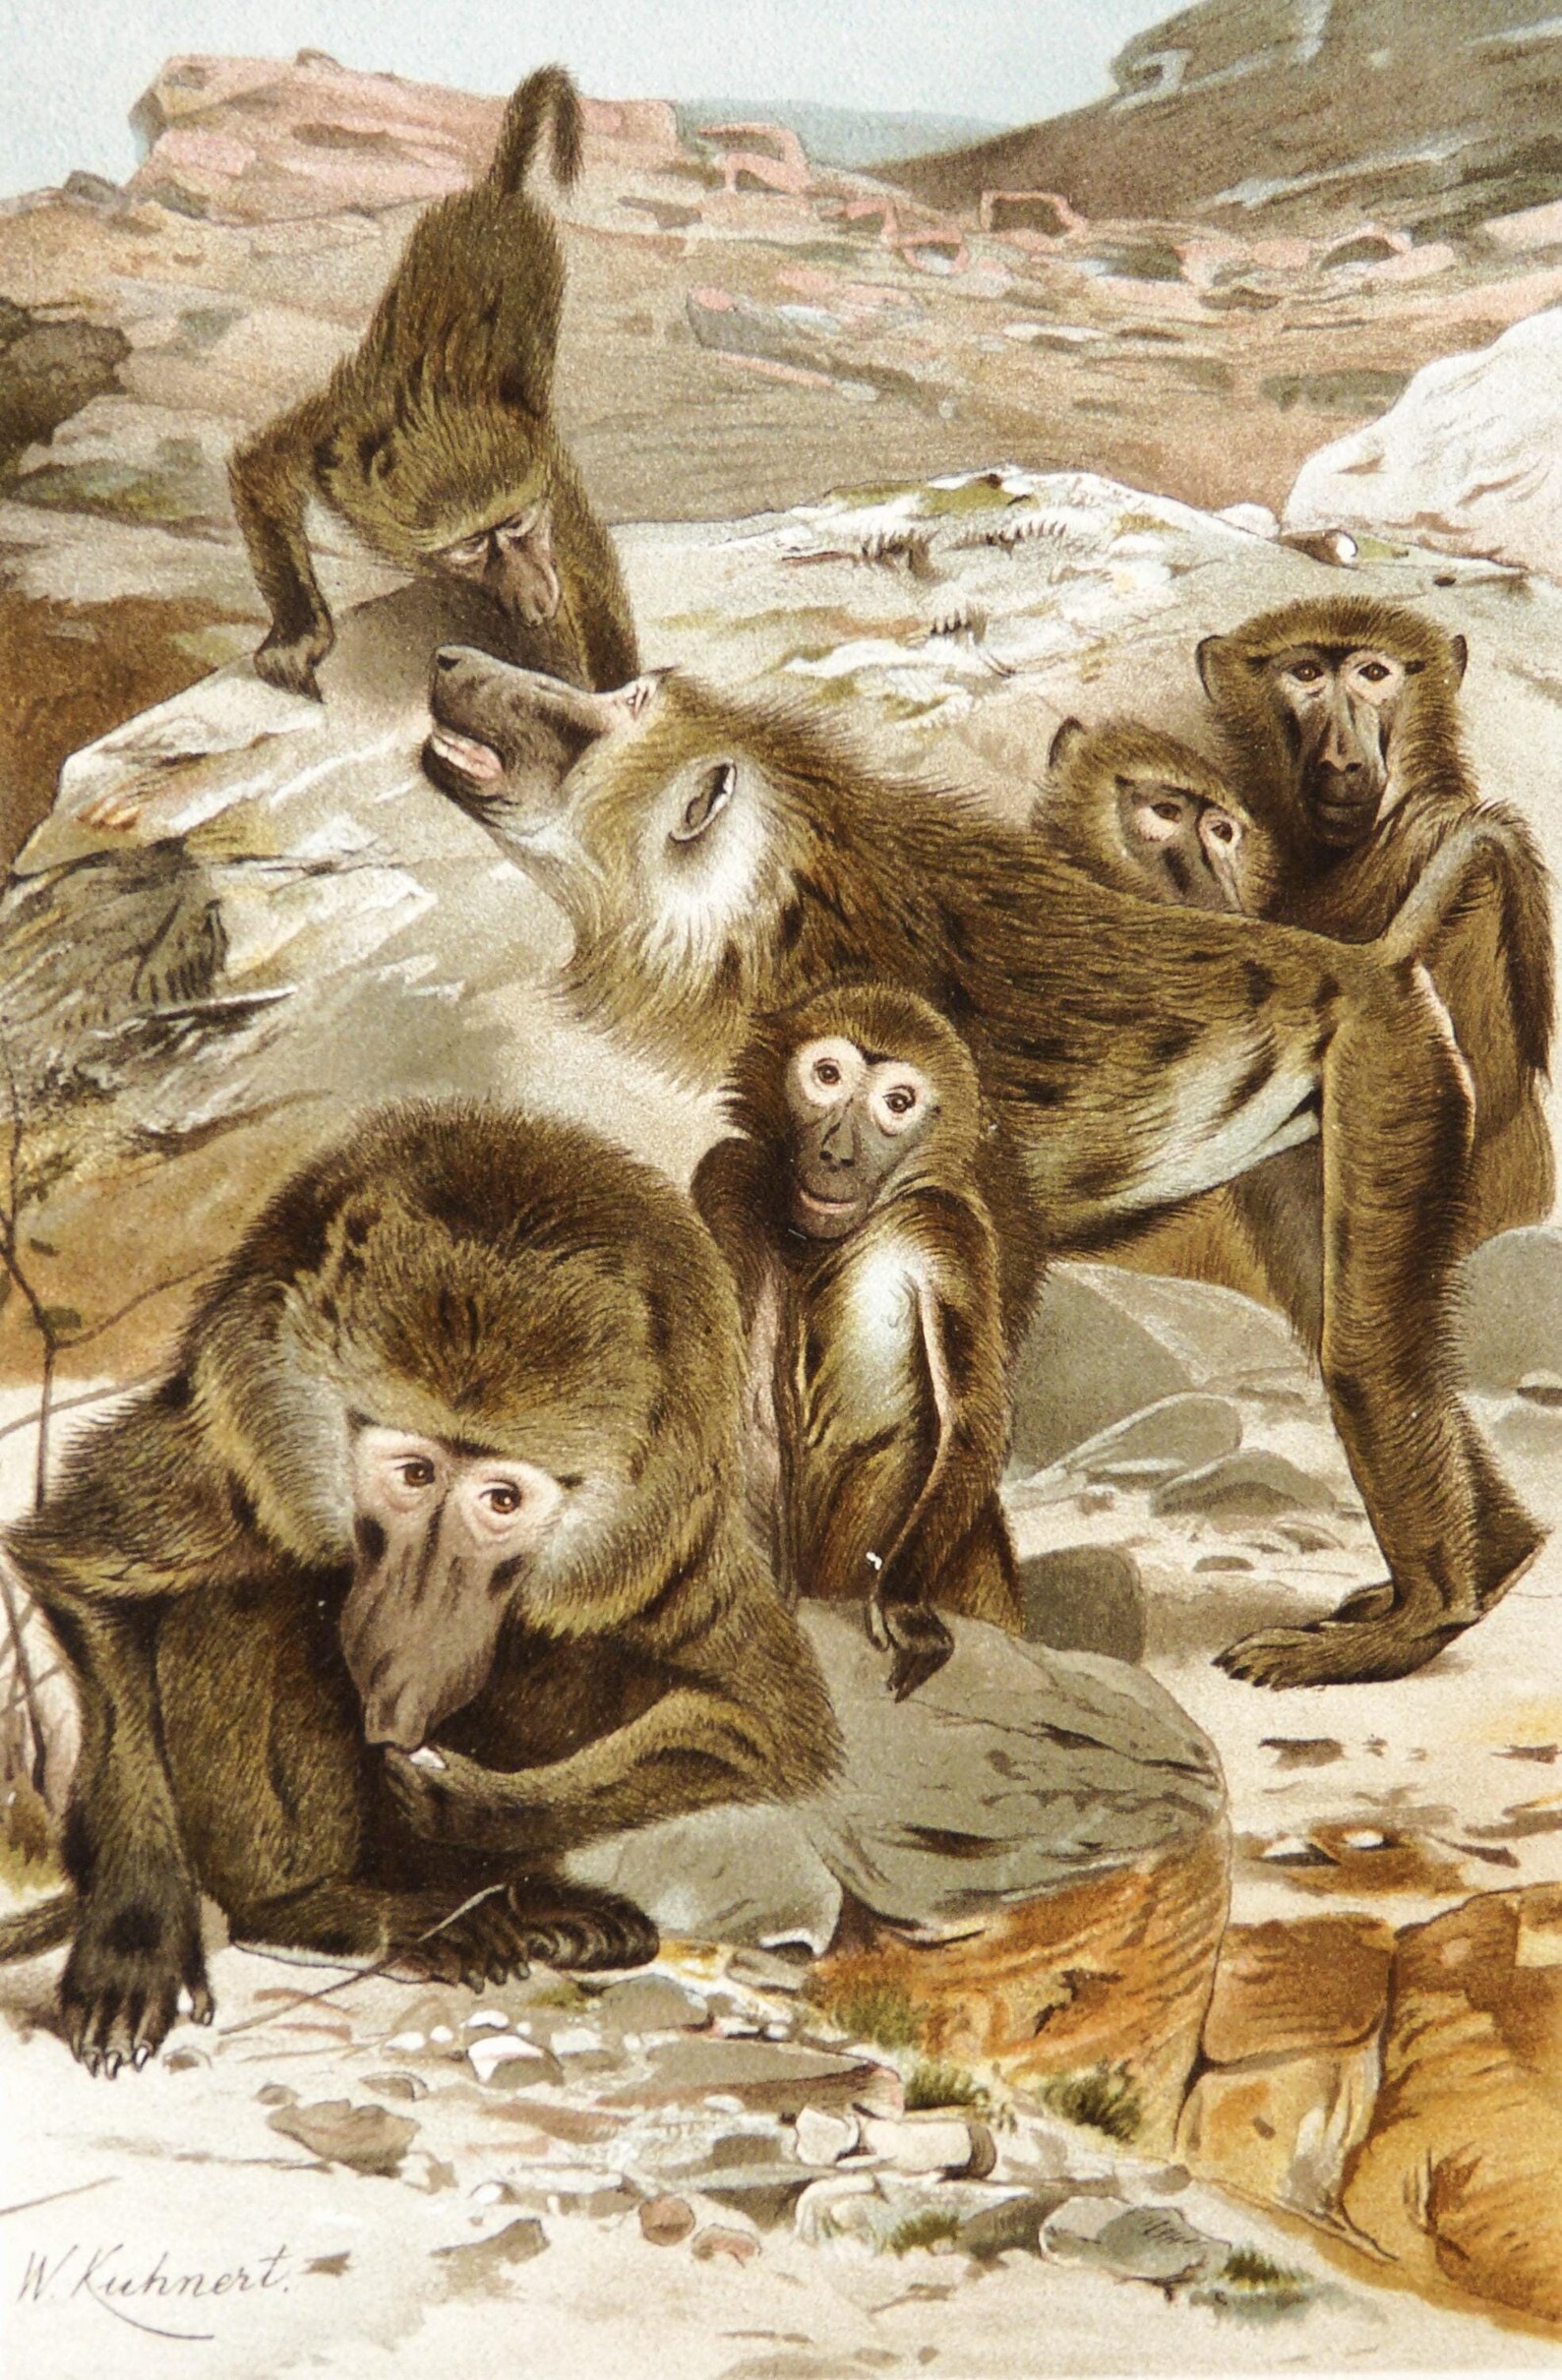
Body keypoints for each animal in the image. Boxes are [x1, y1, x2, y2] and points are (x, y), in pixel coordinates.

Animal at [0, 1101, 839, 2072]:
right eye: (411, 1473)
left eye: (502, 1500)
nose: (416, 1616)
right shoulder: (240, 1450)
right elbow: (86, 1578)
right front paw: (135, 1929)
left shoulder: (665, 1534)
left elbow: (760, 1724)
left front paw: (467, 1807)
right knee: (255, 1595)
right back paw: (320, 1907)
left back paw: (520, 1897)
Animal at [228, 66, 639, 703]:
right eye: (471, 546)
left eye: (517, 524)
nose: (535, 593)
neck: (435, 409)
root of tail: (498, 194)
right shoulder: (338, 446)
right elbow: (261, 466)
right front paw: (299, 634)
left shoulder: (543, 476)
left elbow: (587, 570)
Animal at [692, 978, 1022, 1702]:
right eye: (826, 1076)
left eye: (896, 1105)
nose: (835, 1155)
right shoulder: (730, 1176)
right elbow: (748, 1405)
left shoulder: (945, 1228)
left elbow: (971, 1421)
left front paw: (901, 1606)